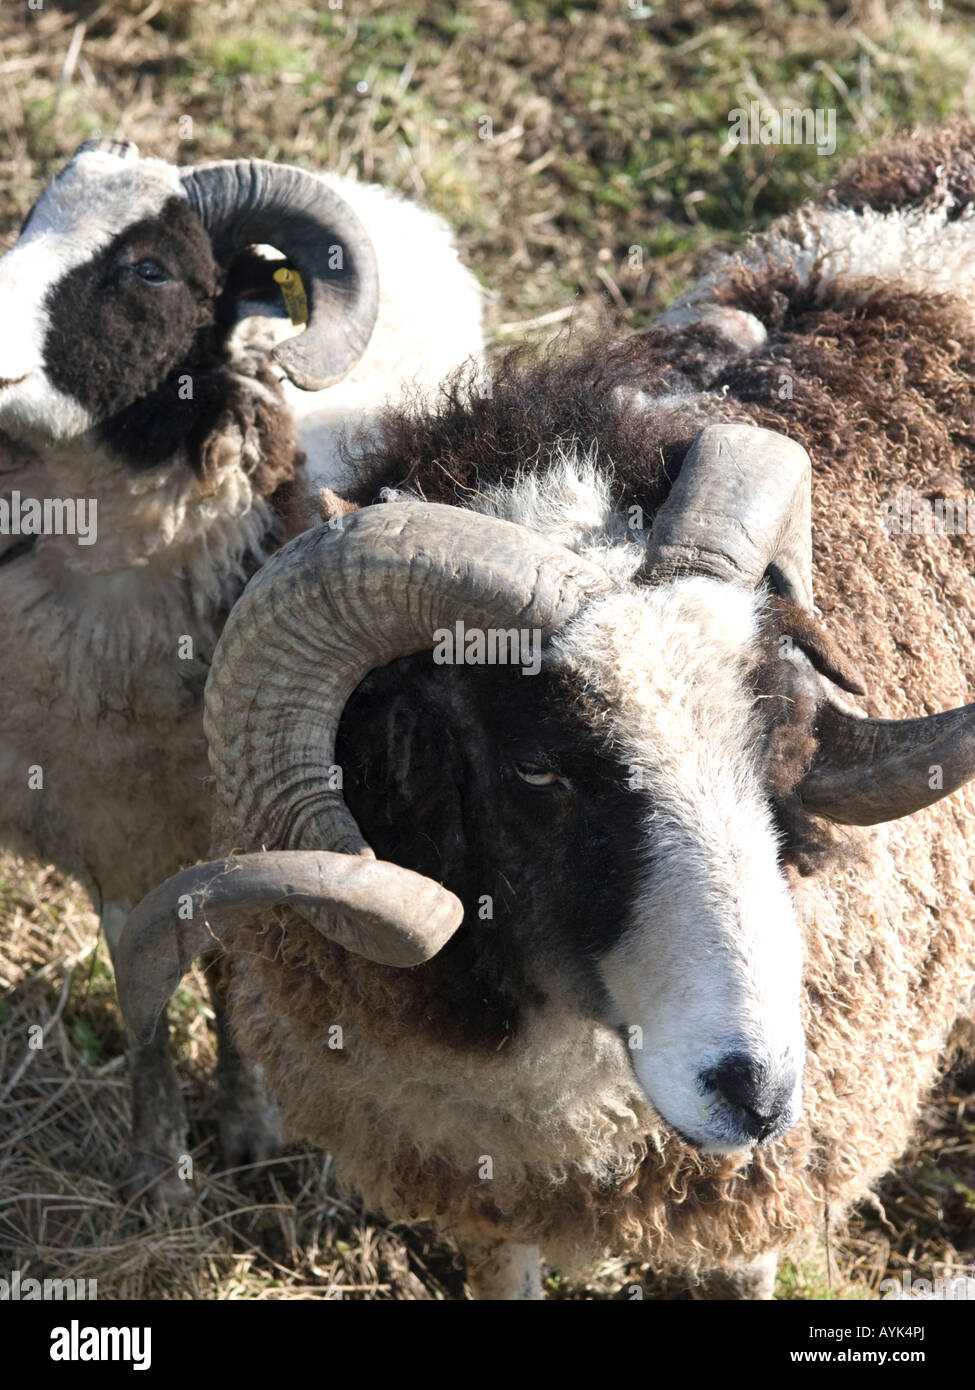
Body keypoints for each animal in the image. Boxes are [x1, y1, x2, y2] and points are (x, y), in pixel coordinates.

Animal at [0, 137, 482, 1196]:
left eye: (149, 269)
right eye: (25, 225)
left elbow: (231, 964)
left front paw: (251, 1126)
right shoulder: (111, 820)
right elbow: (139, 973)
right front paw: (157, 1163)